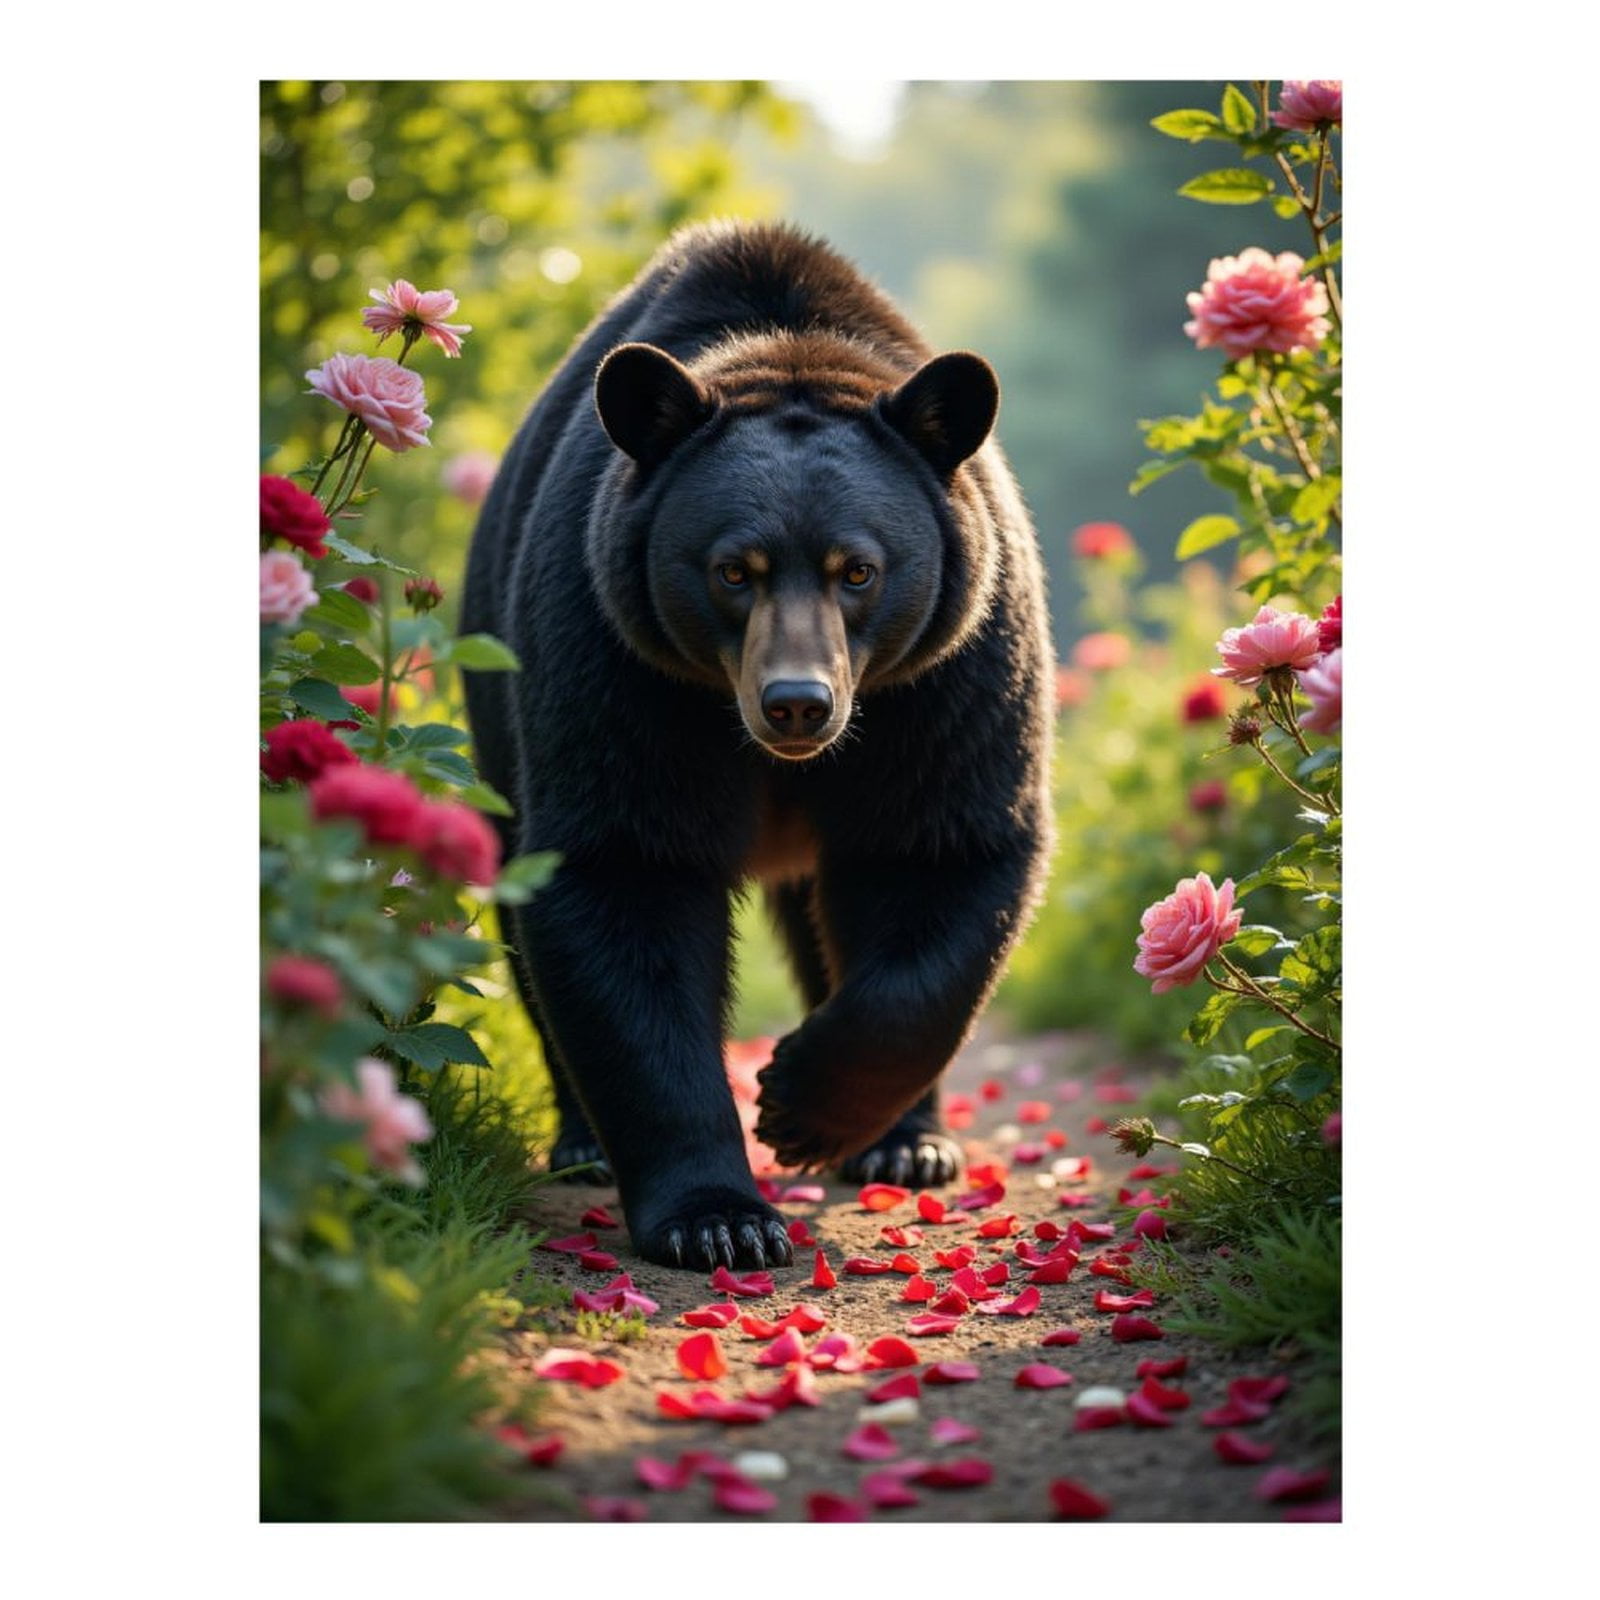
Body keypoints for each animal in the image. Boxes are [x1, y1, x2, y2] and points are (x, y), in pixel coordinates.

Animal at [460, 221, 1053, 1271]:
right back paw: (580, 1141)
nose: (797, 705)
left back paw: (911, 1143)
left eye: (859, 570)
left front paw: (802, 1103)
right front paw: (719, 1217)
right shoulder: (620, 662)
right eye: (733, 570)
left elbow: (945, 851)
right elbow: (625, 872)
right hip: (497, 690)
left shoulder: (949, 675)